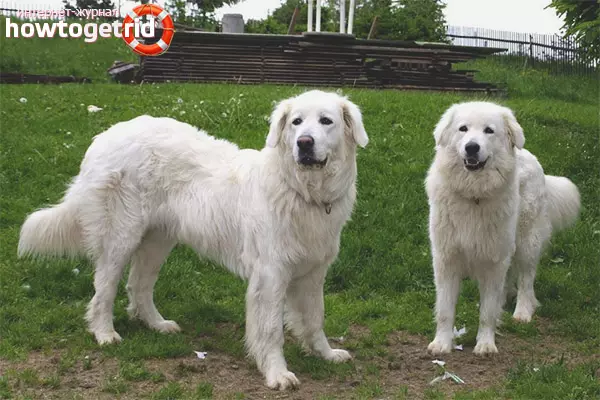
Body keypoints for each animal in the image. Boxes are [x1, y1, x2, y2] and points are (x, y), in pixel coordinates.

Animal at [18, 89, 368, 390]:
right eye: (296, 122)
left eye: (326, 121)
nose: (304, 143)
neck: (303, 191)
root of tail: (106, 135)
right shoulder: (271, 274)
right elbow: (270, 330)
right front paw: (277, 373)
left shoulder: (313, 272)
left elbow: (315, 318)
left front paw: (325, 353)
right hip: (121, 236)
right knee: (104, 288)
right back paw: (105, 333)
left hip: (158, 240)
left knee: (137, 286)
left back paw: (157, 325)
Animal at [424, 101, 580, 354]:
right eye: (463, 129)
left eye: (489, 130)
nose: (471, 147)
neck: (474, 194)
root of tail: (529, 155)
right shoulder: (446, 259)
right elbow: (445, 310)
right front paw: (442, 343)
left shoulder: (494, 260)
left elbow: (487, 312)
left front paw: (486, 344)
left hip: (526, 243)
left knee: (526, 281)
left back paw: (523, 311)